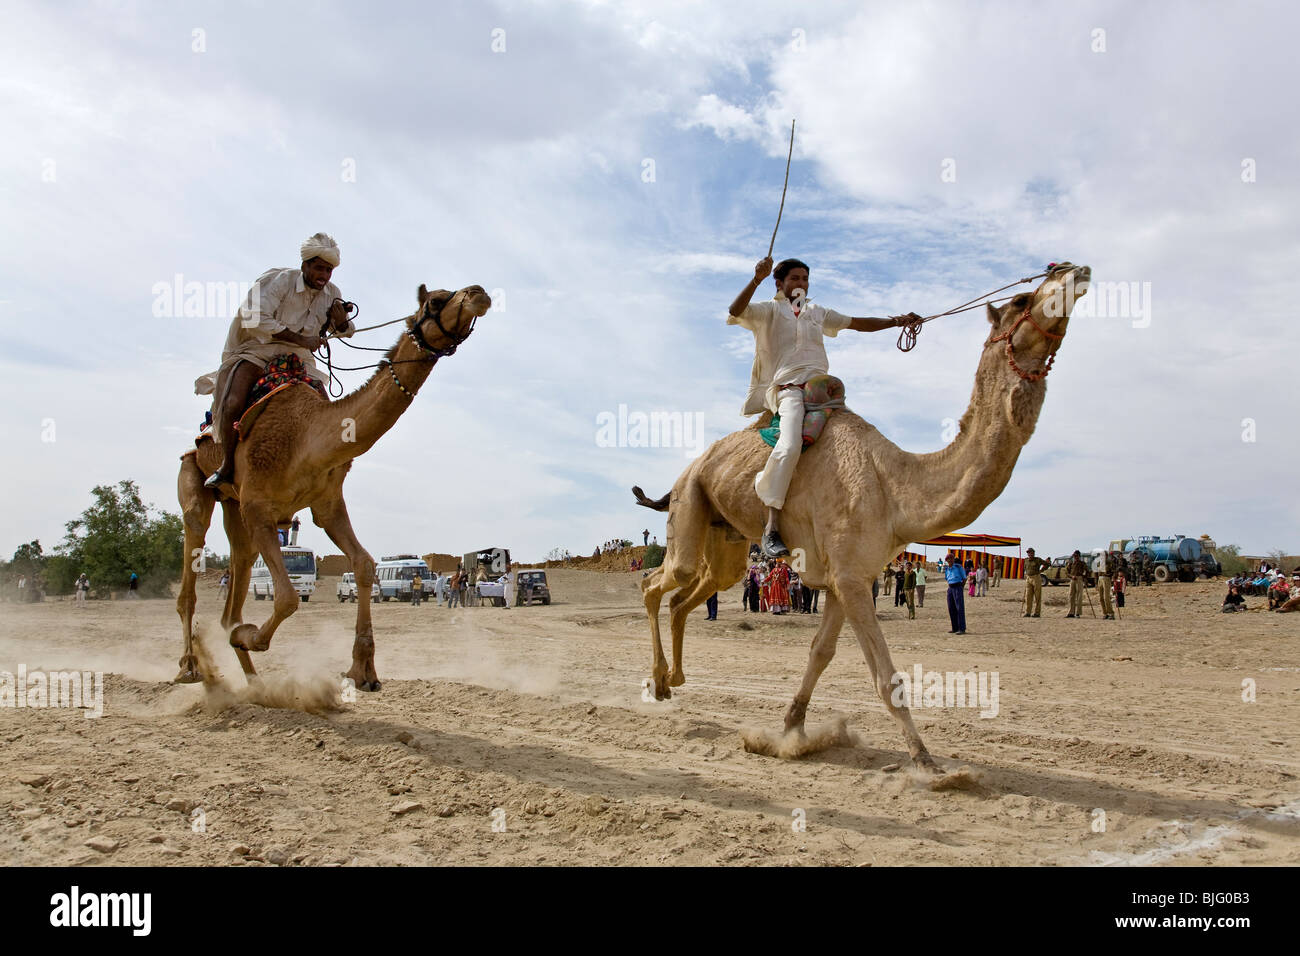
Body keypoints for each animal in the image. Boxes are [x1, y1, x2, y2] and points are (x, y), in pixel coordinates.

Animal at [175, 284, 492, 690]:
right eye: (436, 300)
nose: (478, 293)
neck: (309, 436)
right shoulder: (258, 506)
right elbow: (288, 598)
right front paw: (249, 636)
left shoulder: (326, 502)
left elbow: (364, 565)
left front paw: (363, 671)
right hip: (196, 478)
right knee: (192, 561)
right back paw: (191, 667)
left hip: (234, 507)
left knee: (236, 578)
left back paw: (254, 682)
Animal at [633, 263, 1090, 768]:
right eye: (1022, 300)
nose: (1072, 268)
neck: (893, 486)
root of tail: (685, 473)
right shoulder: (851, 578)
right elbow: (885, 677)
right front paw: (928, 765)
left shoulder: (845, 578)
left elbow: (820, 652)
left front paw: (792, 731)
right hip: (690, 503)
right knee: (658, 582)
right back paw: (657, 680)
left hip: (726, 541)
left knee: (688, 593)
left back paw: (672, 681)